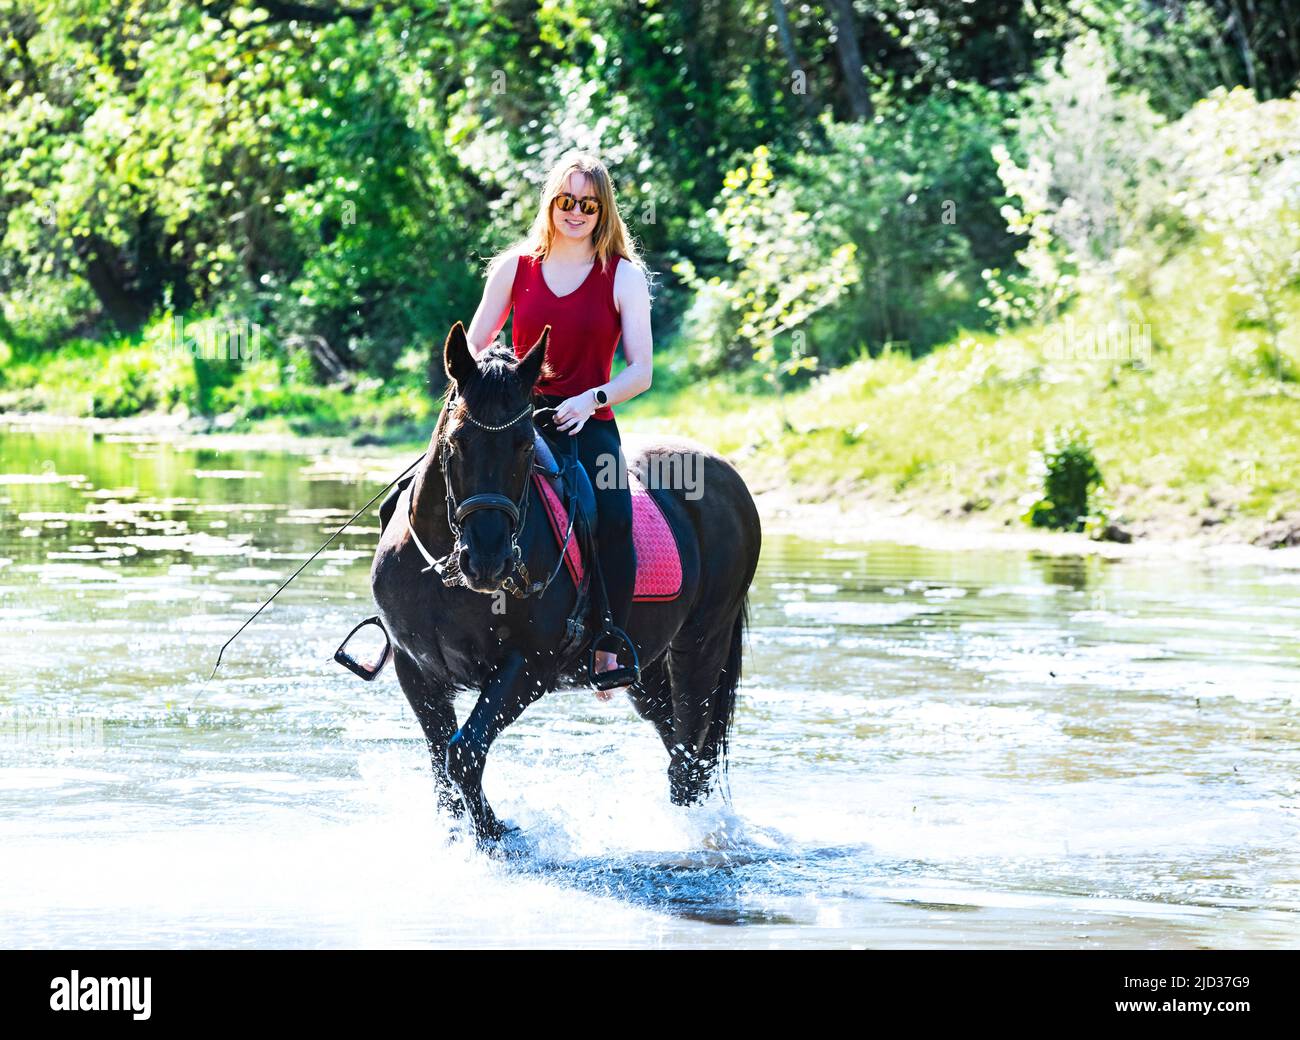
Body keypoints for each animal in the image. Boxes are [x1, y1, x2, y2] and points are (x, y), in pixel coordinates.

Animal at [368, 321, 762, 848]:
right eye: (457, 441)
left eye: (522, 444)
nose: (488, 560)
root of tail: (726, 474)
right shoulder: (415, 669)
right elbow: (441, 766)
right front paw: (460, 838)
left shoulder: (528, 668)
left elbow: (464, 754)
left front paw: (497, 835)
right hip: (647, 668)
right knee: (677, 741)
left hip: (702, 644)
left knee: (689, 756)